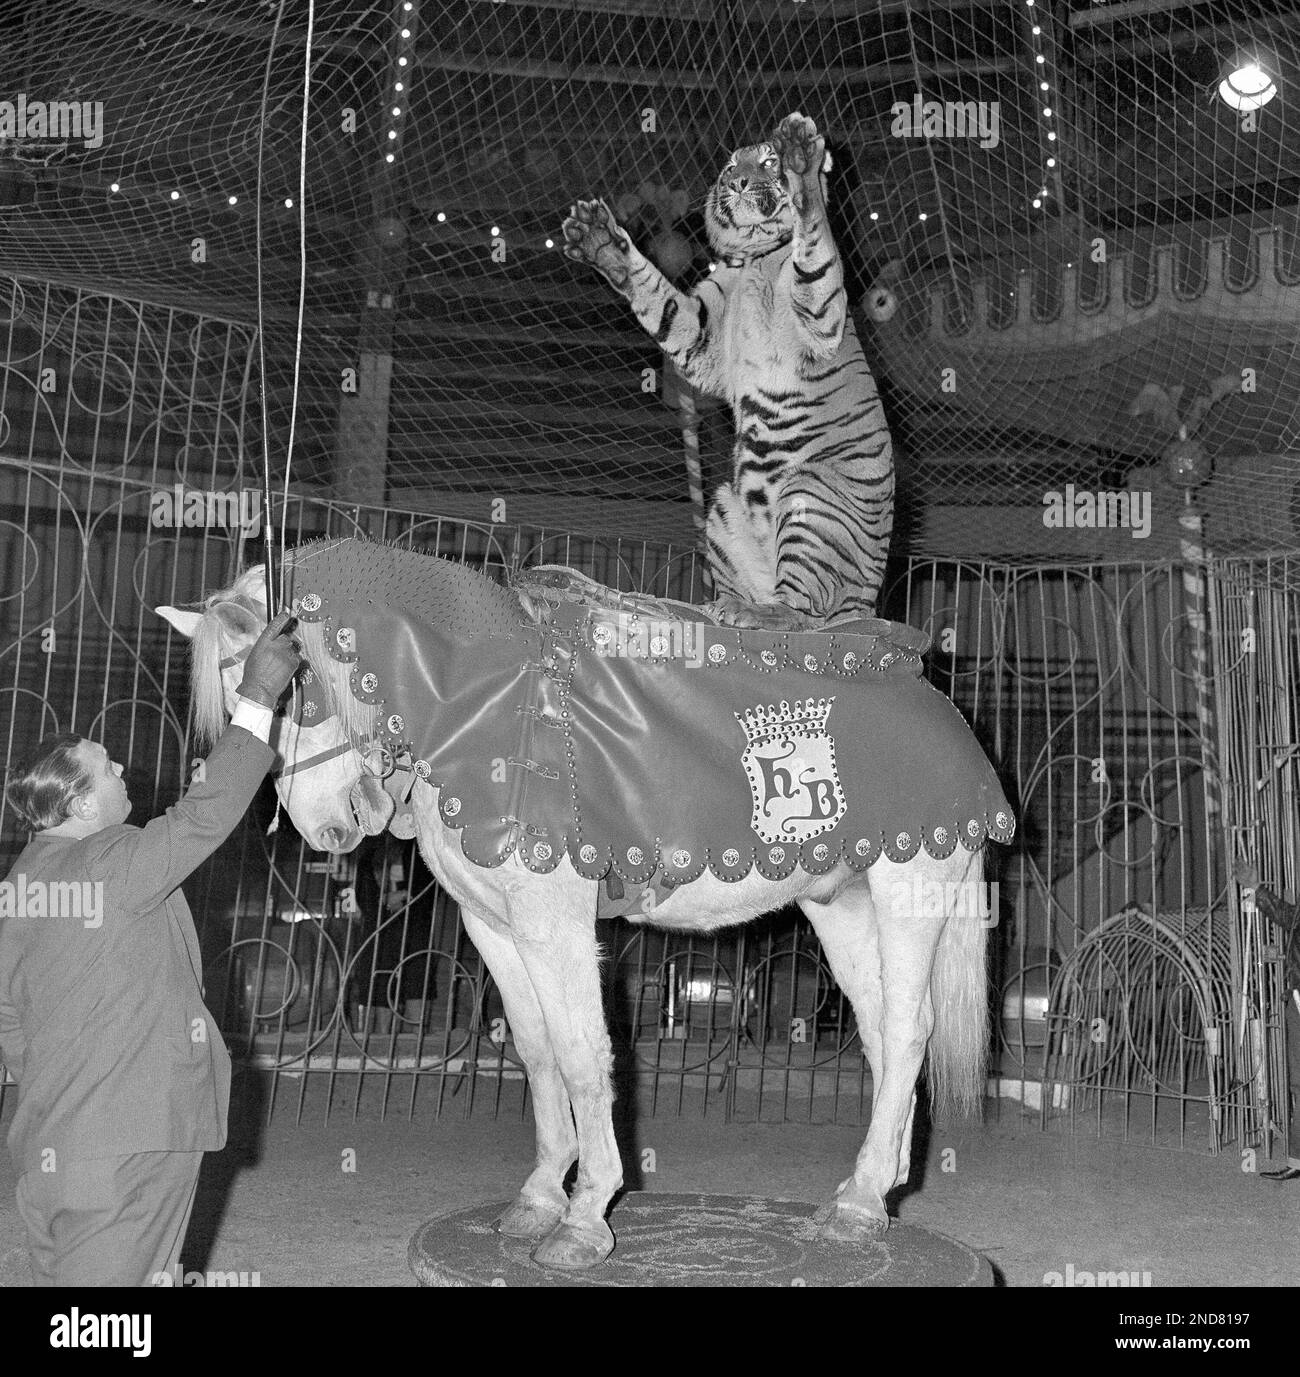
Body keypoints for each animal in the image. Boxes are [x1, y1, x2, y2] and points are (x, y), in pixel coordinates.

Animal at [157, 548, 1002, 1266]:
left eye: (286, 689)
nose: (327, 829)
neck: (476, 701)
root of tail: (937, 700)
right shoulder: (494, 928)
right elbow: (535, 1050)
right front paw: (540, 1196)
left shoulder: (554, 926)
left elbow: (582, 1053)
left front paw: (586, 1213)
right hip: (840, 904)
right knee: (882, 1031)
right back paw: (870, 1190)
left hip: (908, 895)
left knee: (909, 1029)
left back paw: (858, 1207)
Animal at [559, 110, 892, 627]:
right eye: (733, 165)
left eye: (768, 162)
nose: (737, 182)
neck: (756, 257)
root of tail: (868, 604)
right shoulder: (701, 336)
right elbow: (657, 297)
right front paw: (598, 240)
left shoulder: (821, 318)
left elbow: (814, 237)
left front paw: (801, 156)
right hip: (722, 505)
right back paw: (719, 608)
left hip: (809, 497)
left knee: (802, 612)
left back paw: (760, 615)